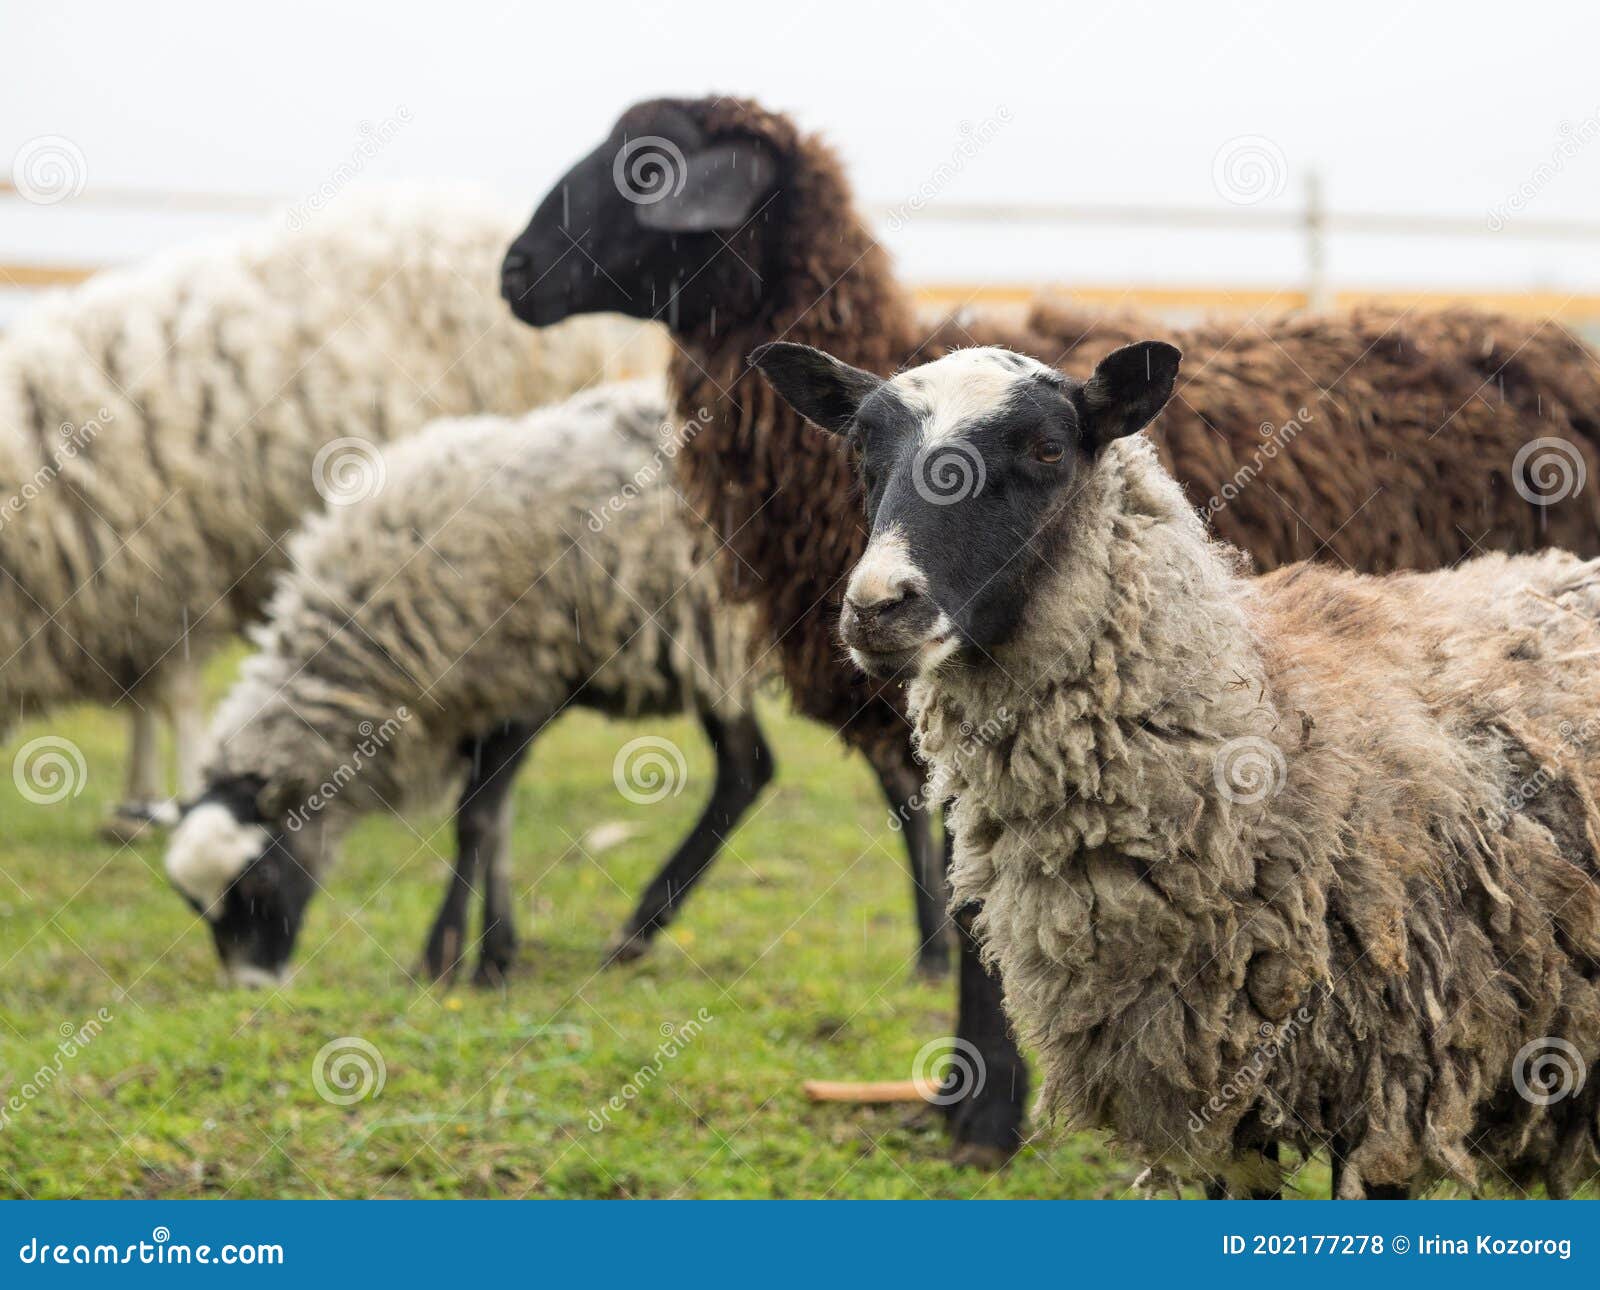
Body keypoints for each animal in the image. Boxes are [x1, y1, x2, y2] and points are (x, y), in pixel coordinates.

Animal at [0, 190, 666, 839]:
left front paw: (178, 796)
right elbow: (147, 699)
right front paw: (135, 805)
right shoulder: (133, 590)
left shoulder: (170, 565)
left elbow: (175, 698)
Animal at [162, 380, 779, 987]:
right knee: (746, 771)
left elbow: (476, 819)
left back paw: (636, 929)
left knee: (744, 771)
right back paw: (640, 929)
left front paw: (446, 955)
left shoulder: (525, 682)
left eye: (260, 880)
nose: (251, 988)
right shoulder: (479, 700)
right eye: (194, 905)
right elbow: (497, 821)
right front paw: (495, 953)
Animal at [756, 336, 1600, 1199]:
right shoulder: (1216, 1092)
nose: (878, 607)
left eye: (1047, 448)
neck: (1260, 715)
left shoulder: (1394, 1083)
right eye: (862, 450)